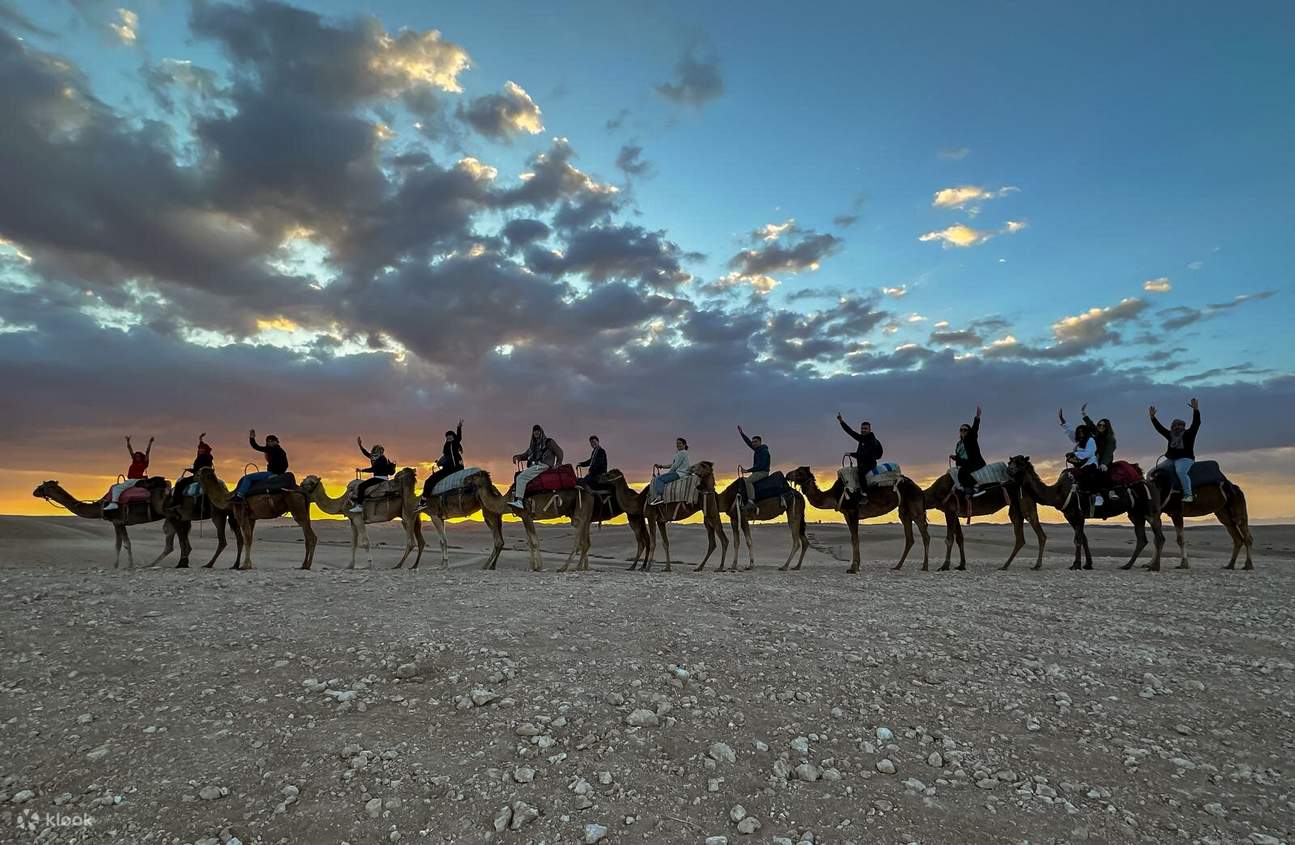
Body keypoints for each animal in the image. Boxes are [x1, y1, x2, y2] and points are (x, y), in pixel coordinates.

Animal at [32, 478, 175, 570]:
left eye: (44, 486)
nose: (34, 492)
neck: (101, 506)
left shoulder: (117, 521)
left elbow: (124, 543)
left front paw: (128, 565)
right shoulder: (118, 523)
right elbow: (119, 544)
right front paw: (118, 565)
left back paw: (151, 564)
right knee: (169, 541)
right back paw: (152, 564)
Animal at [785, 467, 930, 573]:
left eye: (799, 472)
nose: (787, 475)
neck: (835, 495)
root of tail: (918, 488)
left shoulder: (853, 512)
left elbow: (855, 539)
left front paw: (854, 568)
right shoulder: (847, 514)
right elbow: (853, 538)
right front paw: (853, 566)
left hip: (915, 506)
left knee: (925, 535)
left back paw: (925, 566)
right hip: (904, 510)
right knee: (910, 538)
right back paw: (897, 566)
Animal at [1008, 455, 1165, 571]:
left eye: (1020, 463)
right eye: (1010, 462)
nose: (1009, 470)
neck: (1059, 493)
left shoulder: (1079, 514)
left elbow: (1078, 539)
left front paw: (1076, 565)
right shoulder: (1070, 516)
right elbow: (1084, 539)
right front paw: (1087, 564)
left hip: (1151, 510)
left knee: (1159, 537)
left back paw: (1154, 567)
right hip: (1135, 513)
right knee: (1142, 538)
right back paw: (1127, 565)